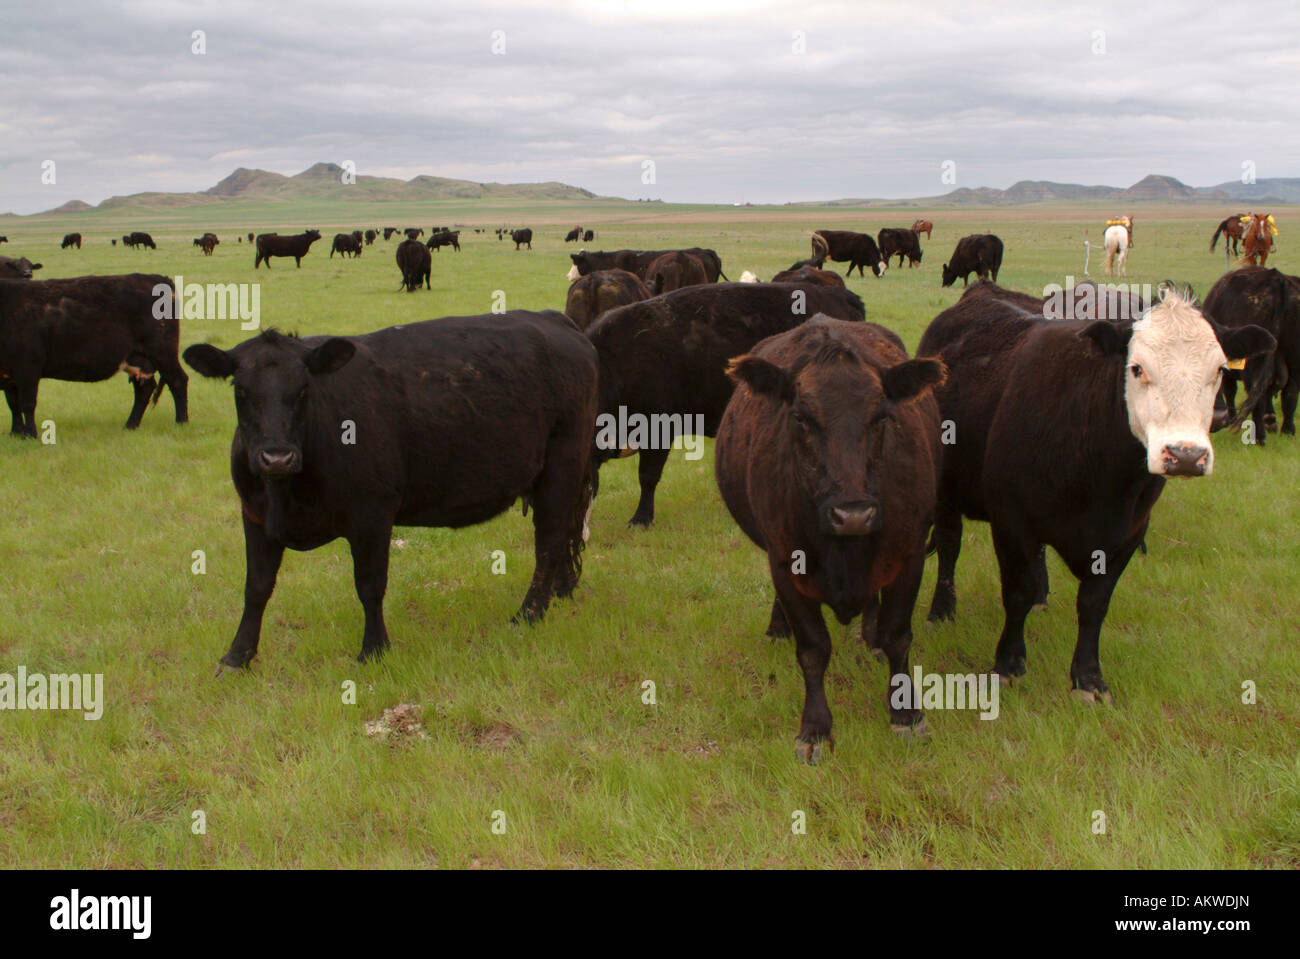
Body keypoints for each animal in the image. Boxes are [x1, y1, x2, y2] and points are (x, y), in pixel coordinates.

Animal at [0, 273, 189, 435]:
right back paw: (130, 425)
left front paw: (30, 434)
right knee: (144, 389)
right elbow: (13, 404)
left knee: (177, 380)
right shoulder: (9, 375)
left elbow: (27, 403)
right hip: (138, 359)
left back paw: (181, 422)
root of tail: (156, 278)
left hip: (163, 353)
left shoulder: (28, 368)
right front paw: (15, 433)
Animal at [181, 311, 598, 668]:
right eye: (241, 390)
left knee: (549, 543)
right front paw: (237, 656)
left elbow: (369, 585)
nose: (277, 457)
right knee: (563, 535)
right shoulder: (254, 514)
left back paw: (528, 614)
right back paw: (559, 593)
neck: (288, 491)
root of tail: (555, 320)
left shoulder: (372, 513)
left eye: (303, 389)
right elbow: (256, 587)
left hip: (562, 463)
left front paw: (373, 650)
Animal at [715, 316, 944, 758]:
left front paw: (906, 714)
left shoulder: (909, 555)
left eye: (882, 416)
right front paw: (815, 728)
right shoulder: (785, 561)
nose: (852, 515)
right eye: (801, 417)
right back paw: (777, 627)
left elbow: (897, 636)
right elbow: (813, 649)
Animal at [918, 283, 1273, 704]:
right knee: (949, 546)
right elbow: (1016, 593)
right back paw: (942, 610)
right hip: (945, 491)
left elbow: (1094, 604)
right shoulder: (1011, 522)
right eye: (1137, 368)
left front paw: (1088, 678)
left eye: (1219, 369)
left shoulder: (1128, 534)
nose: (1186, 454)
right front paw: (1008, 665)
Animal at [1202, 266, 1300, 441]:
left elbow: (1230, 391)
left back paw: (1259, 436)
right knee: (1290, 393)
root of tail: (1276, 278)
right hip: (1294, 357)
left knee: (1257, 395)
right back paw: (1287, 432)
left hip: (1254, 365)